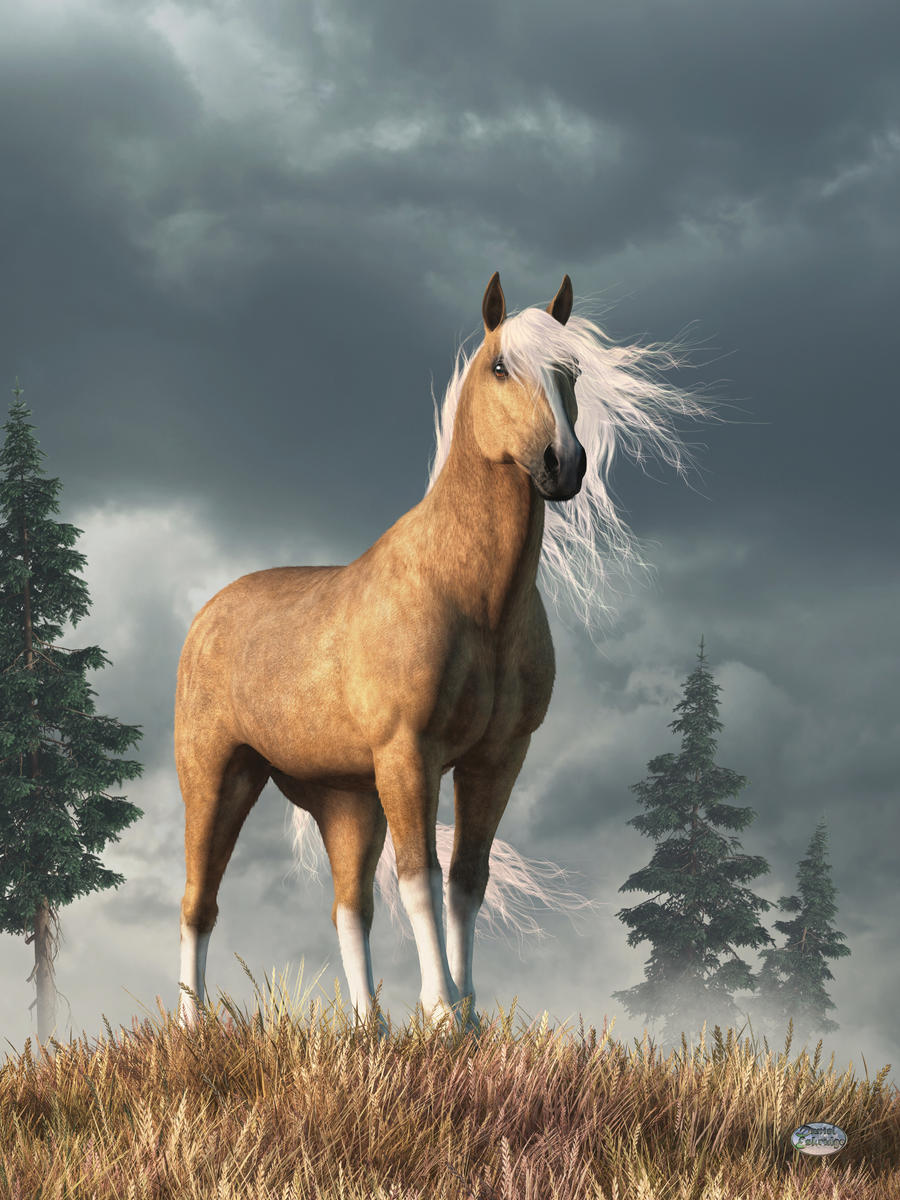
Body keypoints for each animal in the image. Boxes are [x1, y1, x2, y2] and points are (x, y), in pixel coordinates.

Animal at [176, 272, 713, 1037]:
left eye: (572, 372)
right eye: (500, 368)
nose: (563, 465)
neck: (471, 599)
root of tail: (210, 611)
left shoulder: (497, 758)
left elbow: (465, 881)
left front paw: (469, 1017)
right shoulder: (411, 755)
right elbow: (421, 879)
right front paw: (439, 1014)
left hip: (347, 801)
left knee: (349, 907)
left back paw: (368, 1029)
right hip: (218, 775)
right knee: (200, 900)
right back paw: (191, 1030)